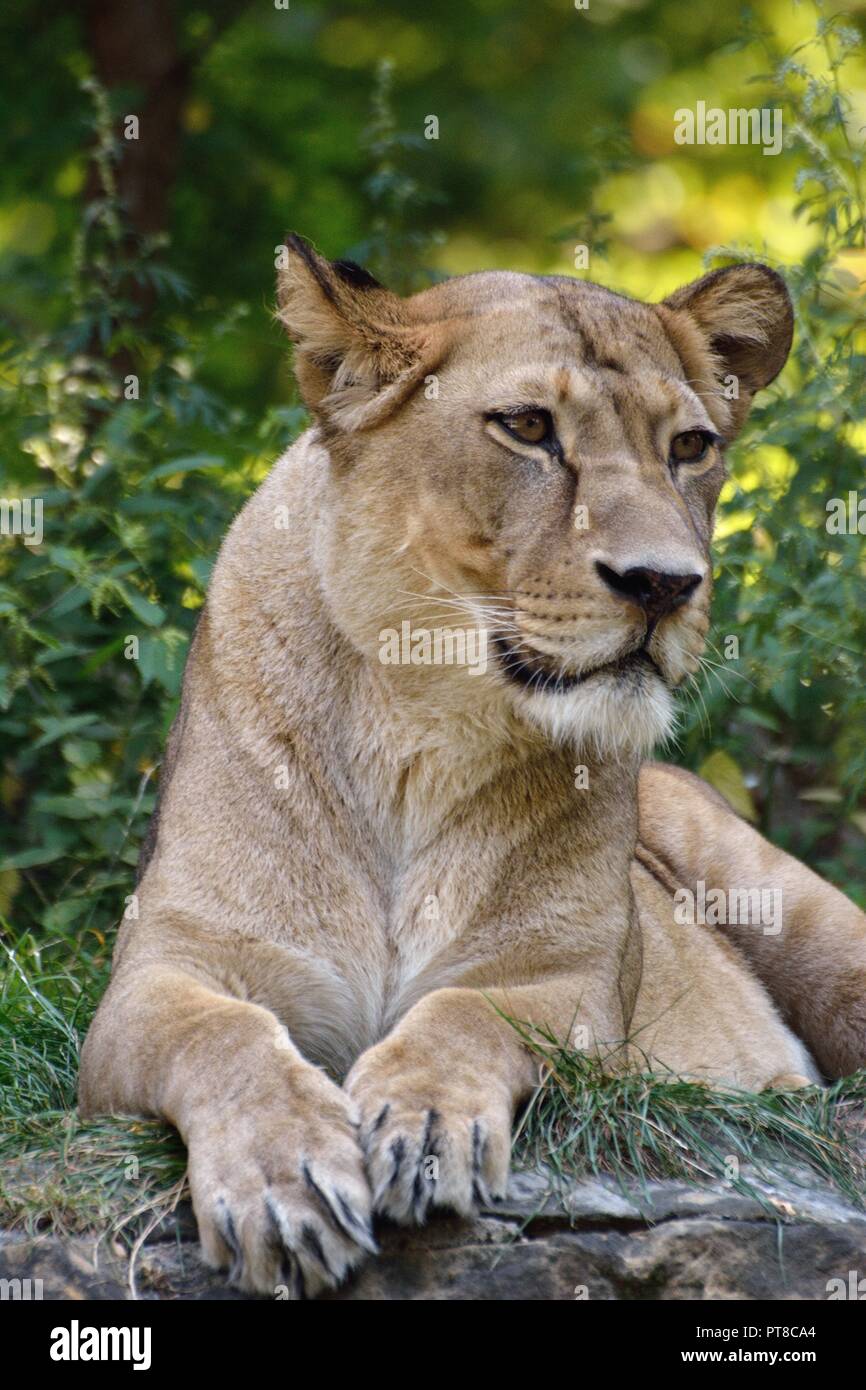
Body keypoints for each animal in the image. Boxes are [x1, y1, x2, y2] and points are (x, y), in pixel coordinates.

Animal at [79, 238, 866, 1298]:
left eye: (691, 448)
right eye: (528, 427)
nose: (664, 584)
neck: (419, 729)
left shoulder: (575, 986)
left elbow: (465, 1013)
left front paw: (424, 1128)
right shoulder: (158, 973)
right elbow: (222, 1035)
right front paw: (285, 1183)